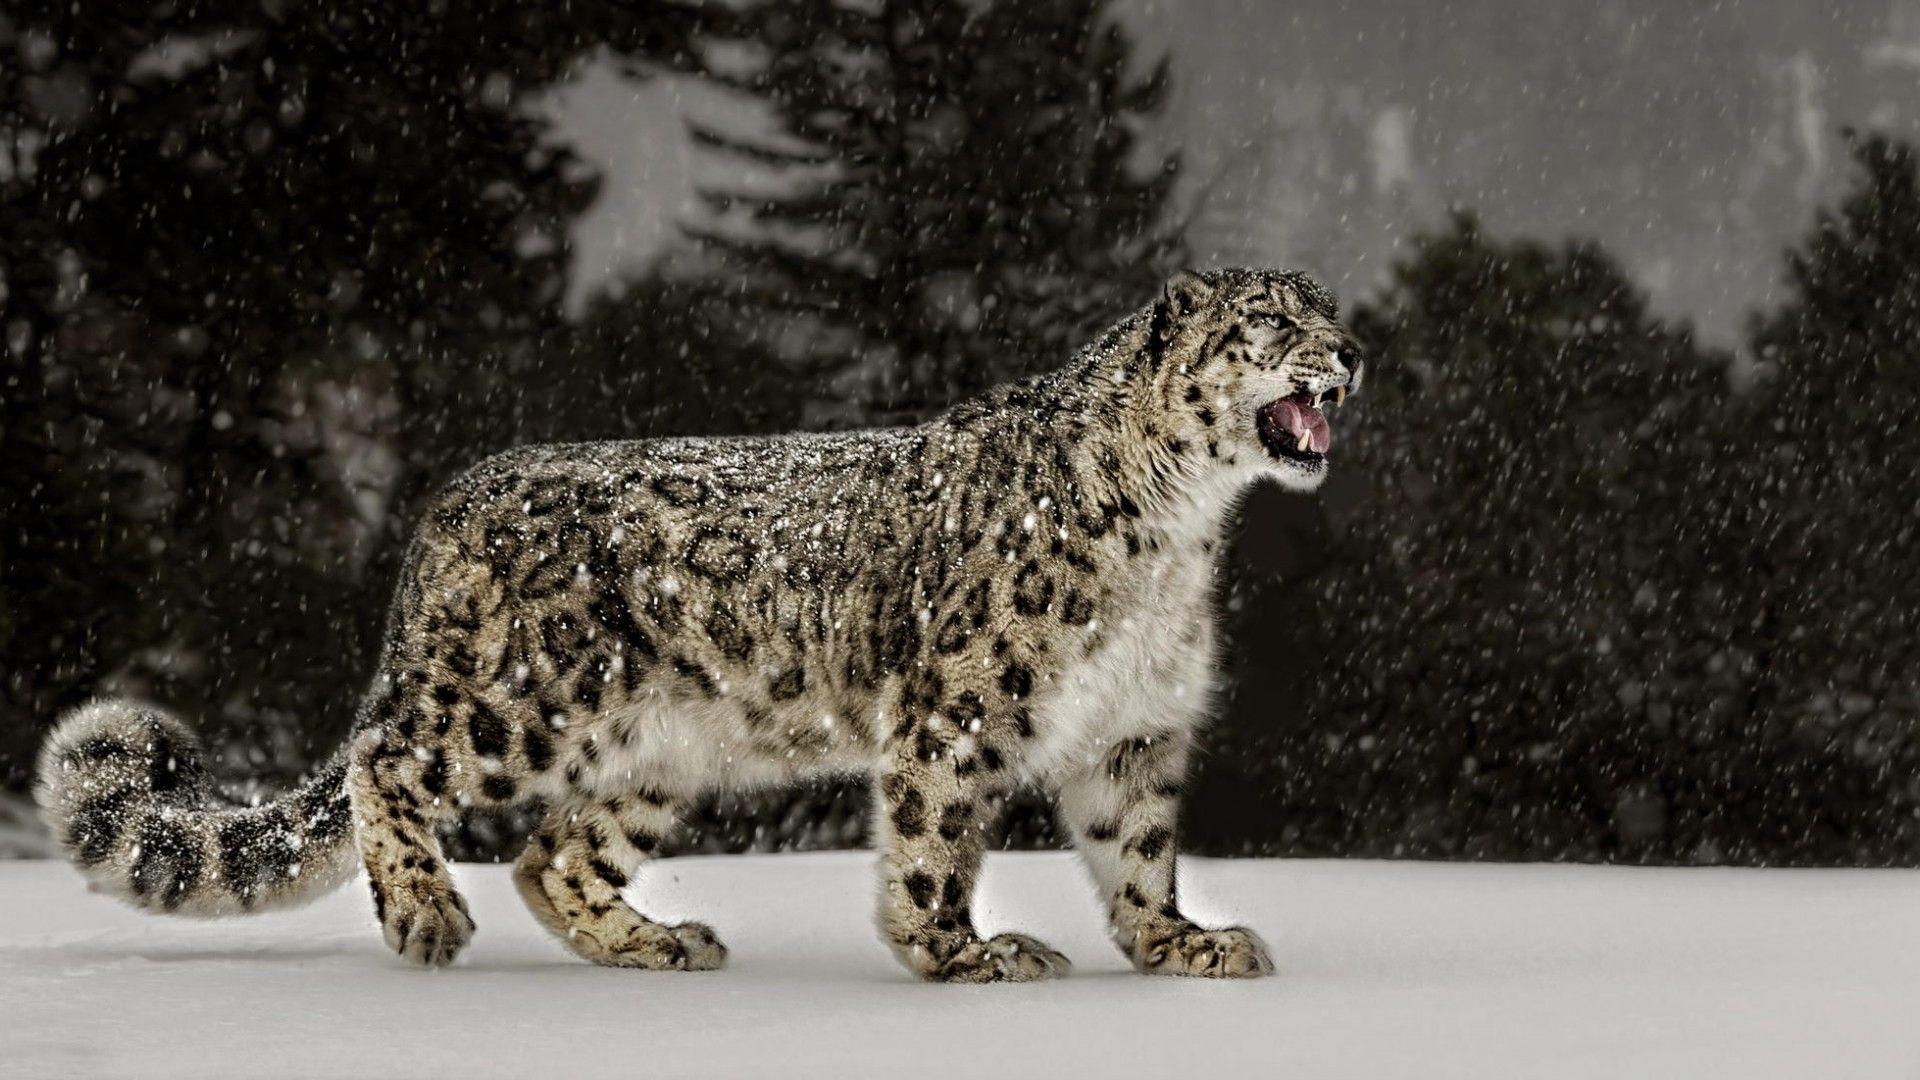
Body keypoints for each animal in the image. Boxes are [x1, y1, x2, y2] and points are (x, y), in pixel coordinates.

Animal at [37, 267, 1362, 983]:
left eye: (1327, 310)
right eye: (1270, 321)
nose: (1352, 350)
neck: (1182, 535)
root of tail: (452, 502)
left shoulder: (1135, 728)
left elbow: (1138, 852)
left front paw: (1184, 945)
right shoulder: (962, 709)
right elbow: (935, 846)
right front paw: (964, 954)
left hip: (659, 752)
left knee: (553, 854)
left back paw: (657, 942)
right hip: (516, 702)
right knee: (387, 761)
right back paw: (423, 909)